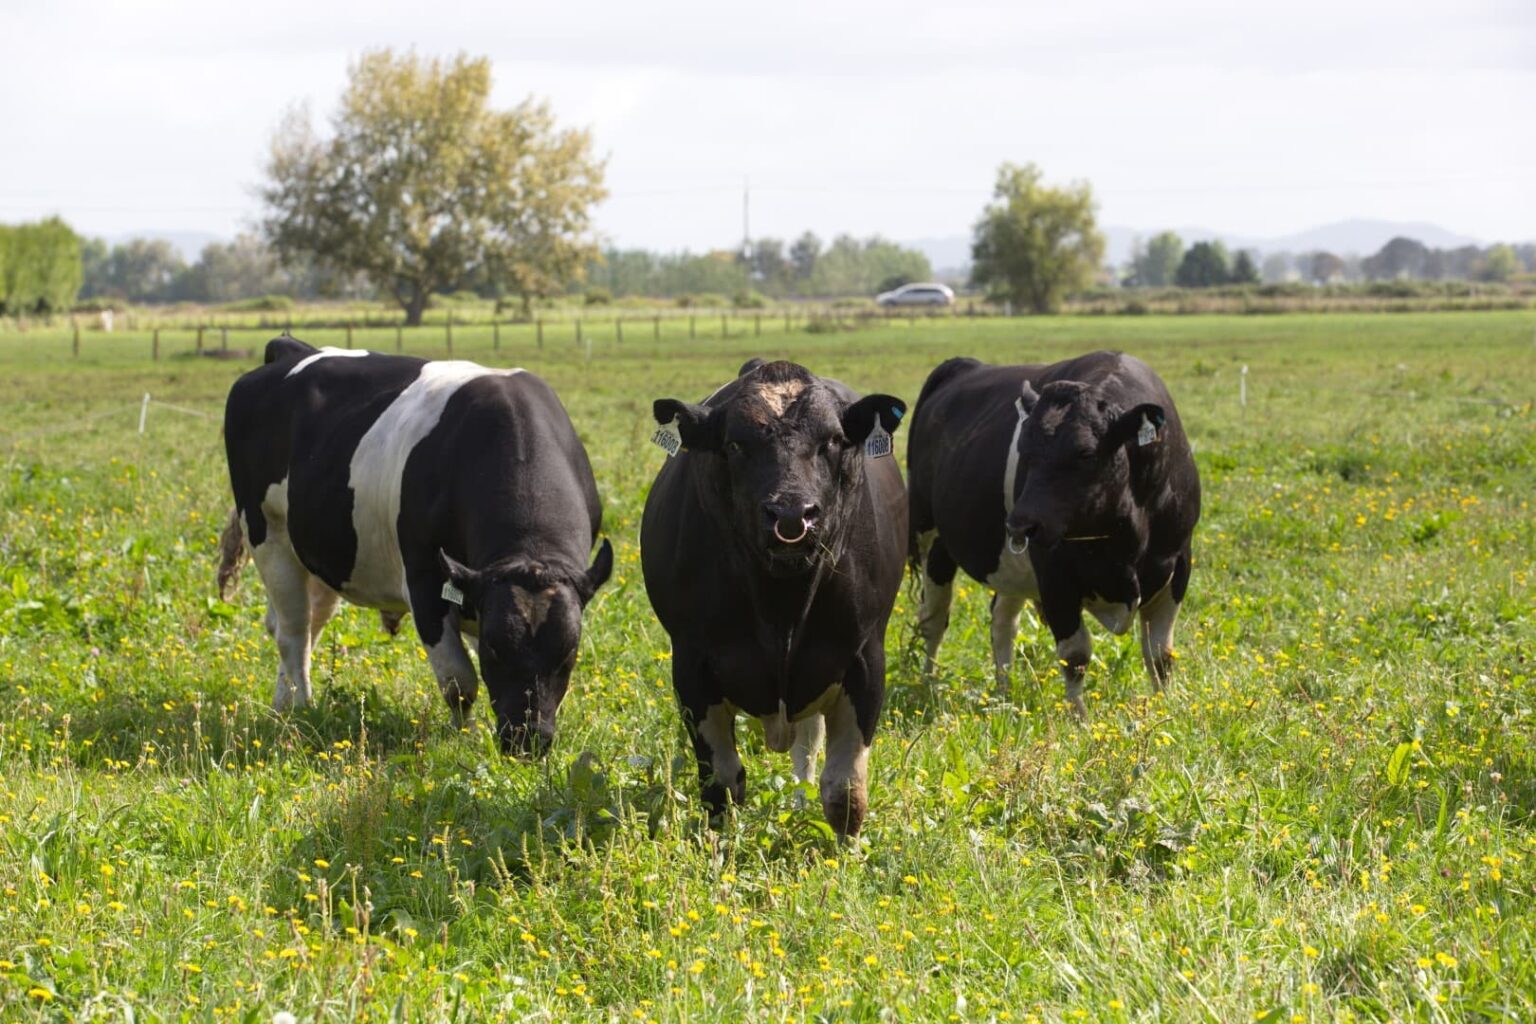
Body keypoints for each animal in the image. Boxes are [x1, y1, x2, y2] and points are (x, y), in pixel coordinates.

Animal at [223, 336, 613, 755]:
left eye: (568, 652)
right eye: (495, 648)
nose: (526, 739)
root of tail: (292, 349)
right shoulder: (425, 581)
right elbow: (459, 680)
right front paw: (464, 738)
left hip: (322, 550)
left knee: (305, 621)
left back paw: (282, 704)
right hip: (266, 532)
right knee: (293, 630)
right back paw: (299, 707)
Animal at [640, 359, 908, 837]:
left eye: (832, 440)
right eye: (735, 444)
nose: (791, 515)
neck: (782, 605)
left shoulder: (864, 660)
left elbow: (845, 790)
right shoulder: (692, 666)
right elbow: (722, 782)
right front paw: (720, 848)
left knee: (808, 747)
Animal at [907, 351, 1200, 717]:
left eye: (1086, 453)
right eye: (1024, 451)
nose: (1020, 524)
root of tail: (964, 364)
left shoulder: (1178, 563)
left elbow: (1160, 654)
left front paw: (1165, 707)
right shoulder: (1054, 575)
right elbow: (1075, 655)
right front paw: (1080, 720)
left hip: (1010, 563)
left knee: (1002, 621)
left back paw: (1003, 693)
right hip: (931, 538)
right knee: (933, 619)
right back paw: (926, 685)